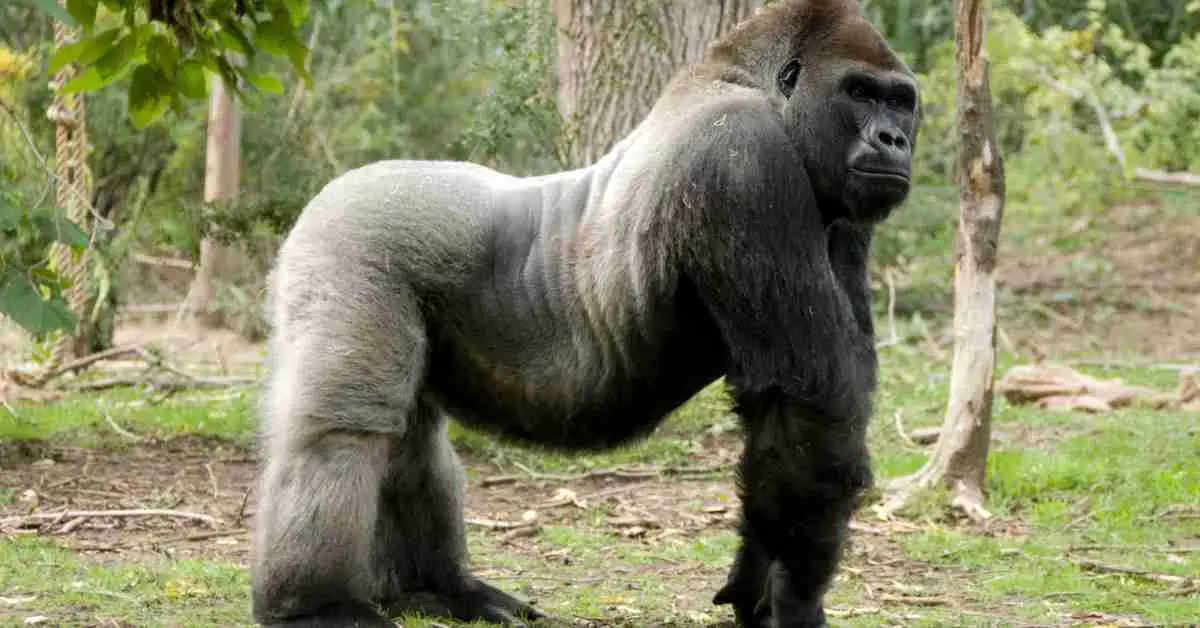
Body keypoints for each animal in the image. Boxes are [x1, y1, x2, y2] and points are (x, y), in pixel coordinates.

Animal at [250, 0, 920, 626]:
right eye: (859, 93)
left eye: (901, 101)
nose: (895, 140)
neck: (747, 82)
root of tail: (329, 194)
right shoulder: (744, 161)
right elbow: (810, 404)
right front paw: (791, 598)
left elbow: (785, 423)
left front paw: (757, 578)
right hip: (347, 243)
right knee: (345, 433)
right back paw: (313, 603)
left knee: (411, 442)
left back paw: (439, 589)